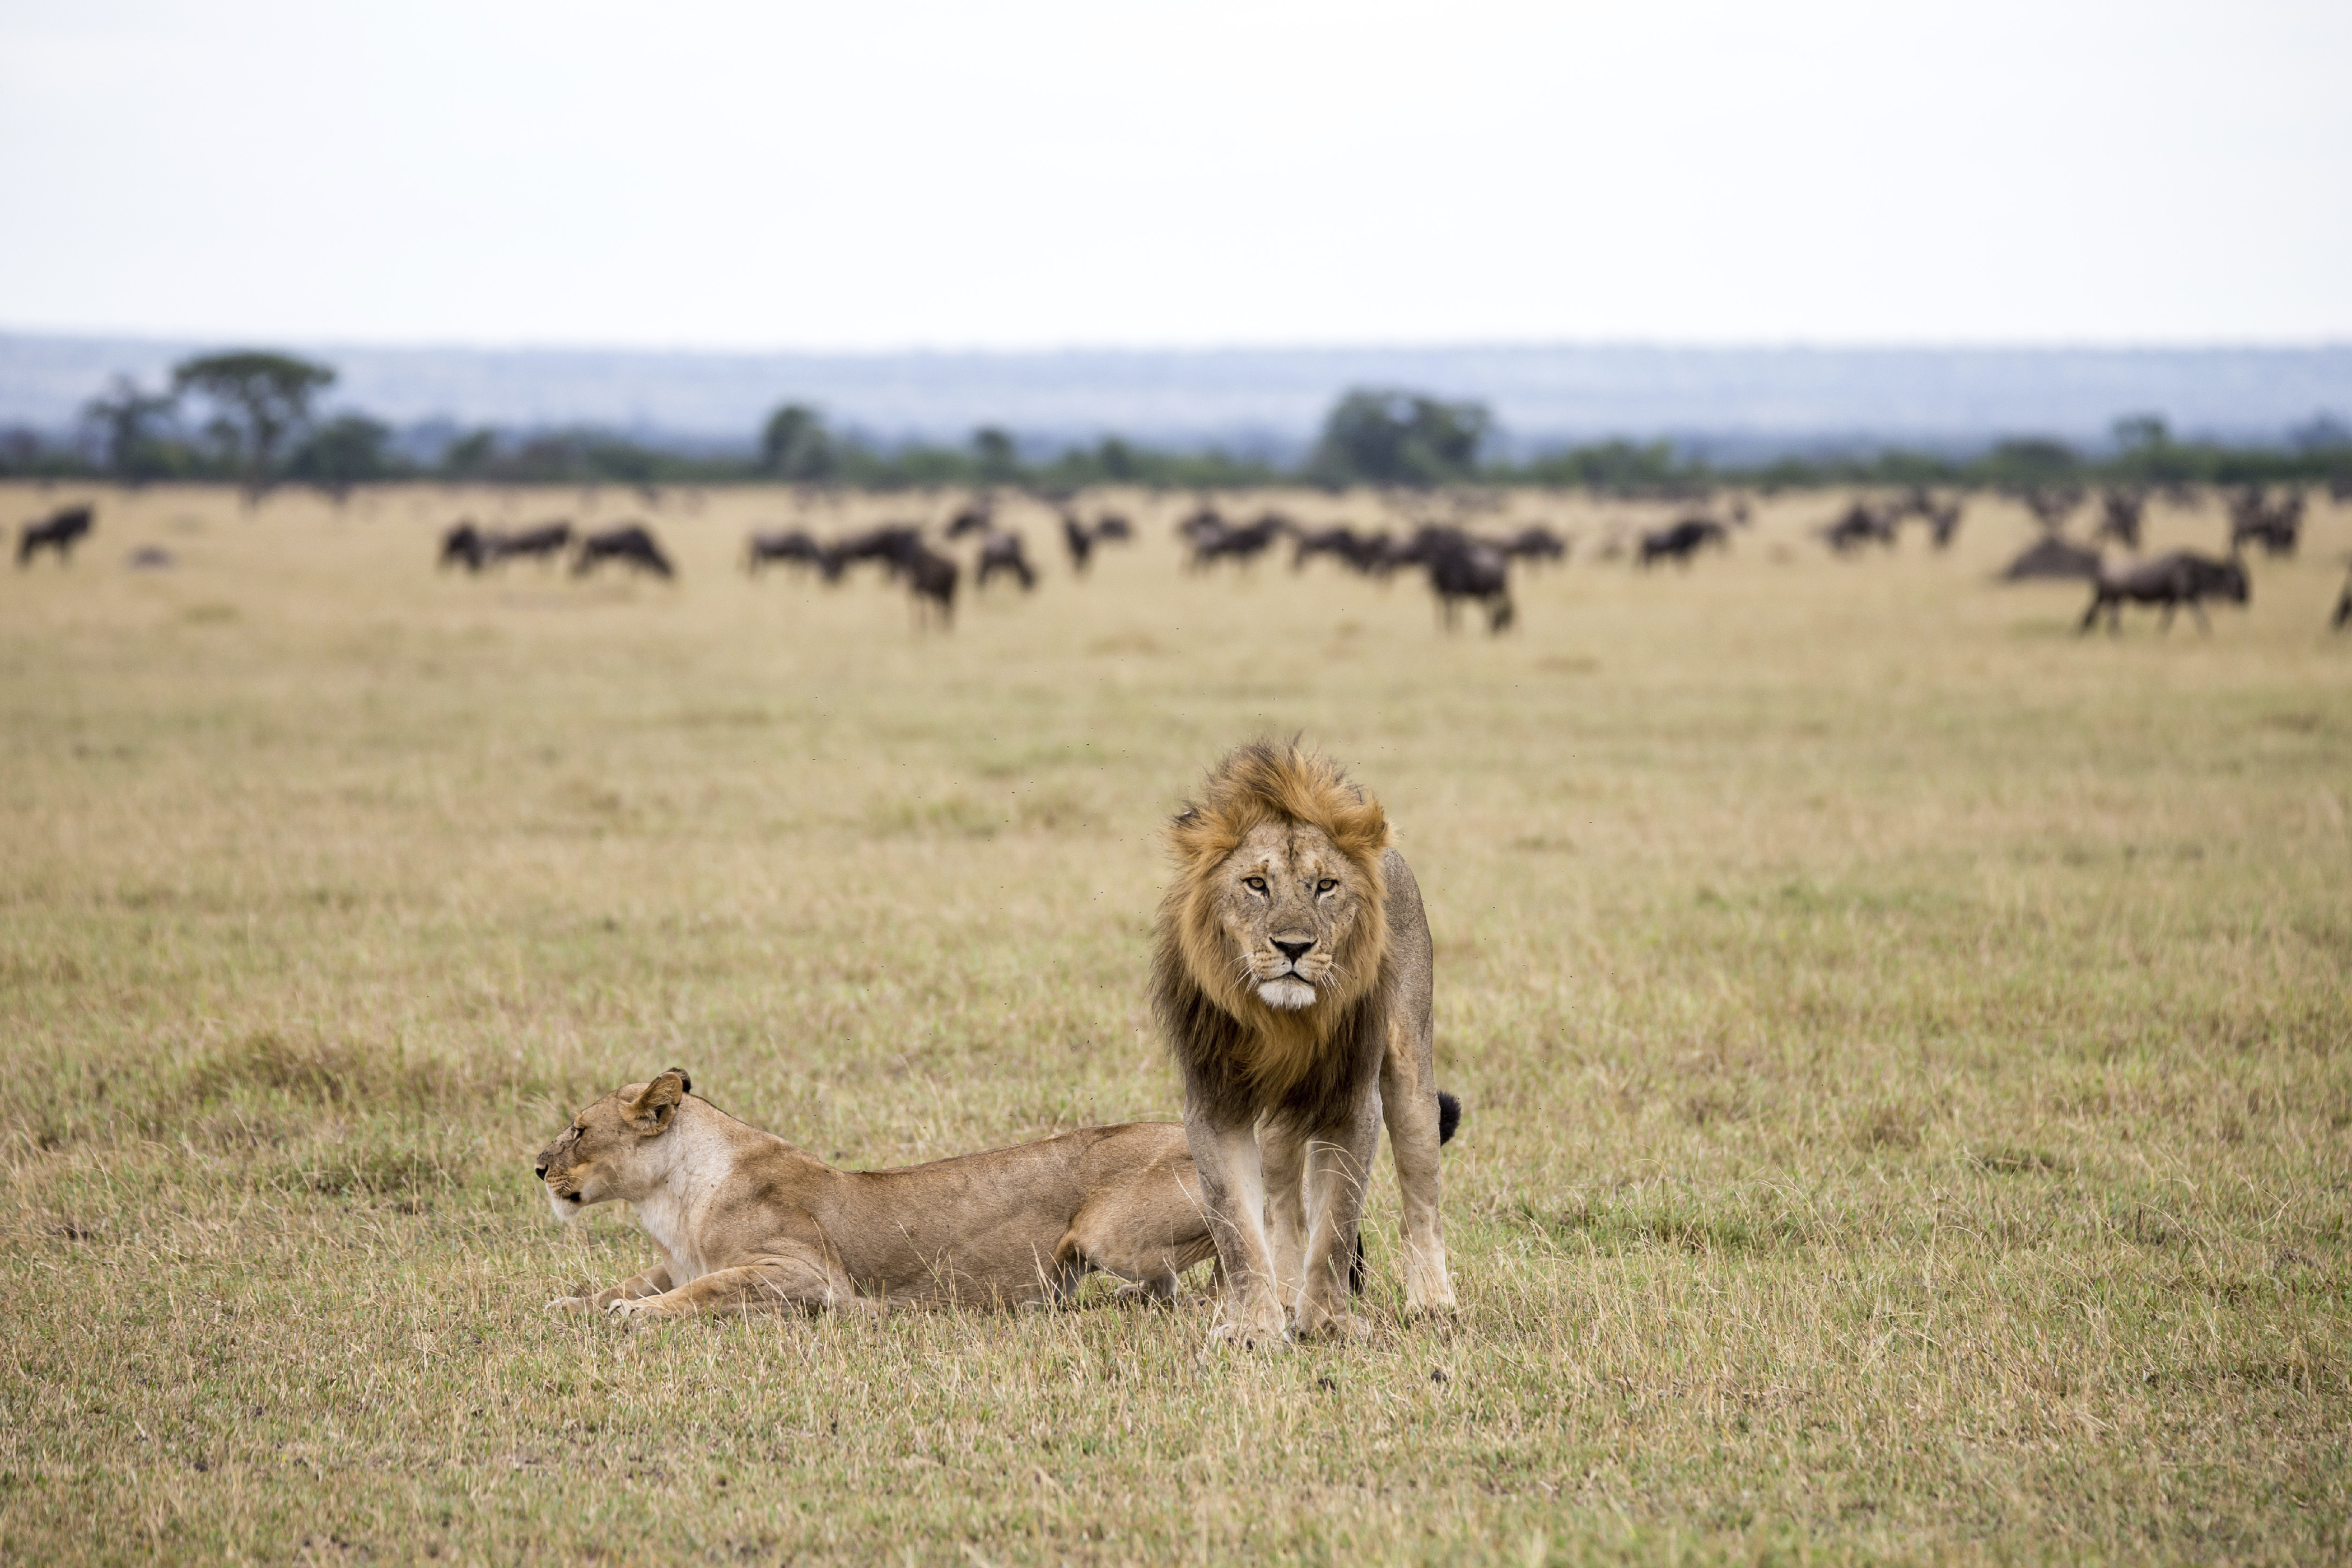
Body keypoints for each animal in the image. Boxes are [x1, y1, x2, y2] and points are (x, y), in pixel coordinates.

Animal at [536, 1069, 1217, 1318]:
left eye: (579, 1129)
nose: (538, 1167)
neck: (670, 1199)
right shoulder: (675, 1259)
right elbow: (634, 1280)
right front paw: (574, 1303)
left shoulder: (810, 1276)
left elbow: (708, 1288)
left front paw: (638, 1315)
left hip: (1107, 1233)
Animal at [1152, 740, 1459, 1347]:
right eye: (1256, 884)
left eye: (1325, 886)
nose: (1293, 946)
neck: (1282, 1026)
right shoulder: (1215, 1105)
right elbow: (1238, 1228)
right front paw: (1254, 1327)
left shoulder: (1353, 1103)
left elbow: (1337, 1223)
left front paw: (1328, 1323)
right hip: (1278, 1128)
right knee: (1285, 1210)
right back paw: (1286, 1292)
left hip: (1411, 1075)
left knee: (1421, 1195)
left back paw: (1433, 1303)